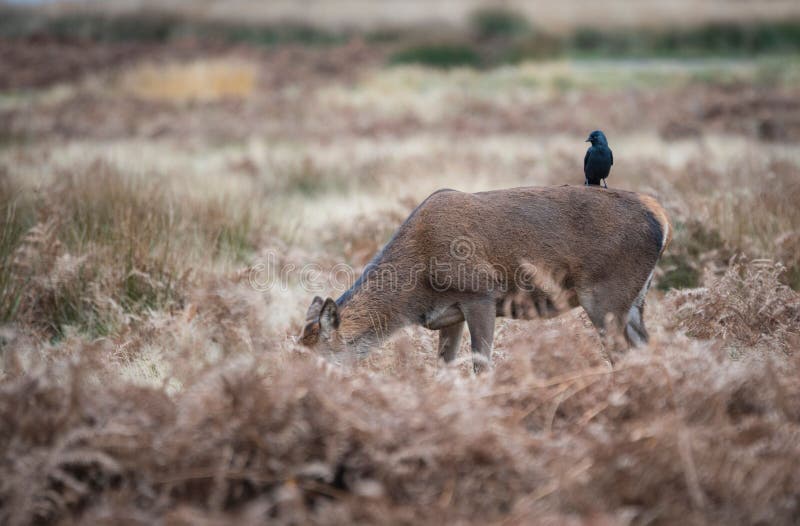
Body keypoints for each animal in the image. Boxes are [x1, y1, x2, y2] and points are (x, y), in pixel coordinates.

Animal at [300, 185, 671, 372]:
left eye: (320, 363)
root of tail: (664, 219)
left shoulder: (479, 293)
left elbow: (482, 366)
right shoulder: (448, 315)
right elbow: (444, 370)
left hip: (606, 294)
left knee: (623, 356)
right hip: (635, 298)